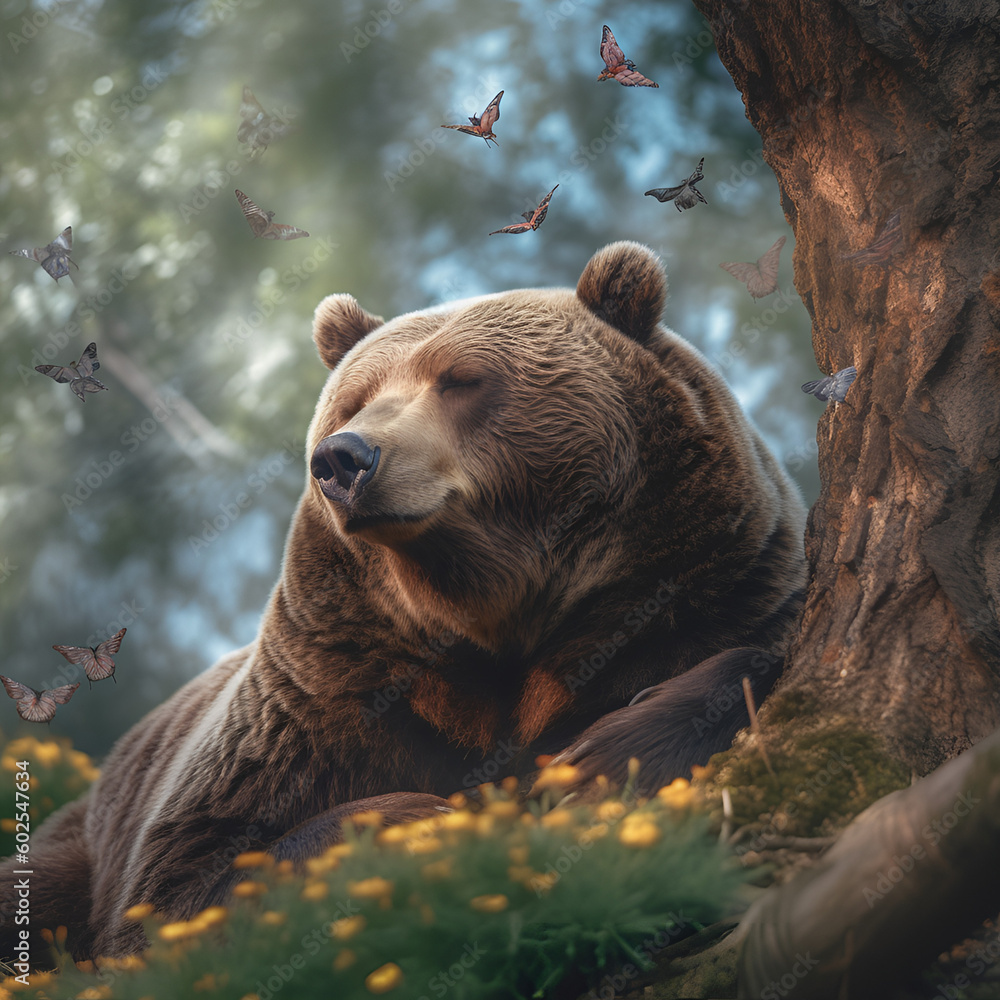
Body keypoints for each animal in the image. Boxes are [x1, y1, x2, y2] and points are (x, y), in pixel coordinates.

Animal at [1, 241, 806, 963]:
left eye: (461, 379)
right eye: (355, 399)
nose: (344, 458)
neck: (485, 609)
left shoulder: (703, 584)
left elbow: (751, 651)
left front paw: (600, 756)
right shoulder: (325, 692)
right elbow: (183, 886)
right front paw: (422, 814)